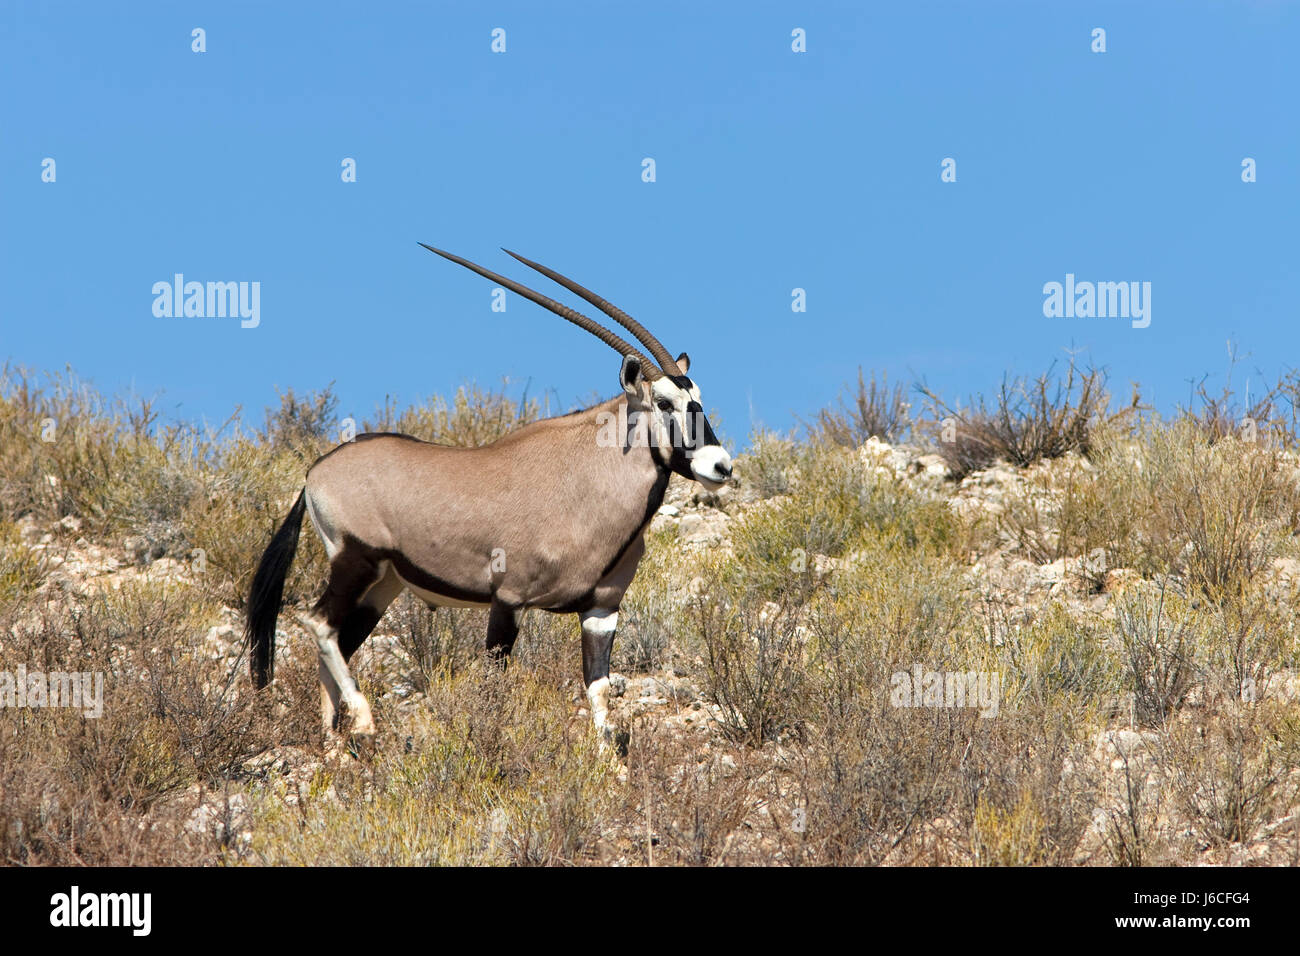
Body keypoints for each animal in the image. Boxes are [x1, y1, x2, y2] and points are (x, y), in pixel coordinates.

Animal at [246, 245, 732, 749]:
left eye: (698, 398)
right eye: (663, 403)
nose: (720, 466)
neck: (587, 479)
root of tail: (316, 471)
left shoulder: (601, 610)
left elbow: (598, 695)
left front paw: (609, 763)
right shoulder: (509, 600)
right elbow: (494, 685)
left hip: (382, 585)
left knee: (338, 642)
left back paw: (334, 748)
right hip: (356, 561)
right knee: (319, 625)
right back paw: (360, 722)